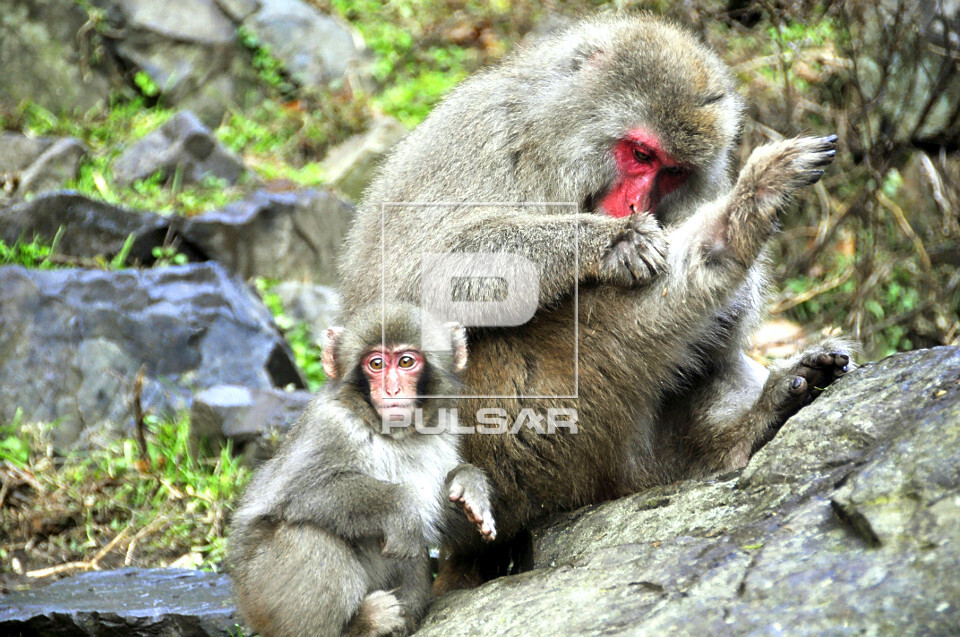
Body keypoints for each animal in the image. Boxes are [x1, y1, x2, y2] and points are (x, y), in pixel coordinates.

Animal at [226, 303, 497, 637]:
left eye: (406, 361)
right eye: (376, 363)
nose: (392, 389)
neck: (390, 433)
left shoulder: (444, 432)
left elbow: (441, 515)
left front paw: (470, 490)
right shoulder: (329, 427)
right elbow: (300, 492)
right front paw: (401, 506)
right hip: (261, 590)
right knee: (309, 536)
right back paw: (364, 622)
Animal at [336, 14, 851, 590]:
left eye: (672, 172)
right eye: (641, 153)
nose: (635, 205)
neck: (548, 140)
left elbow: (731, 324)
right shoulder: (483, 138)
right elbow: (412, 280)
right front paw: (608, 242)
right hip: (514, 429)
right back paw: (729, 235)